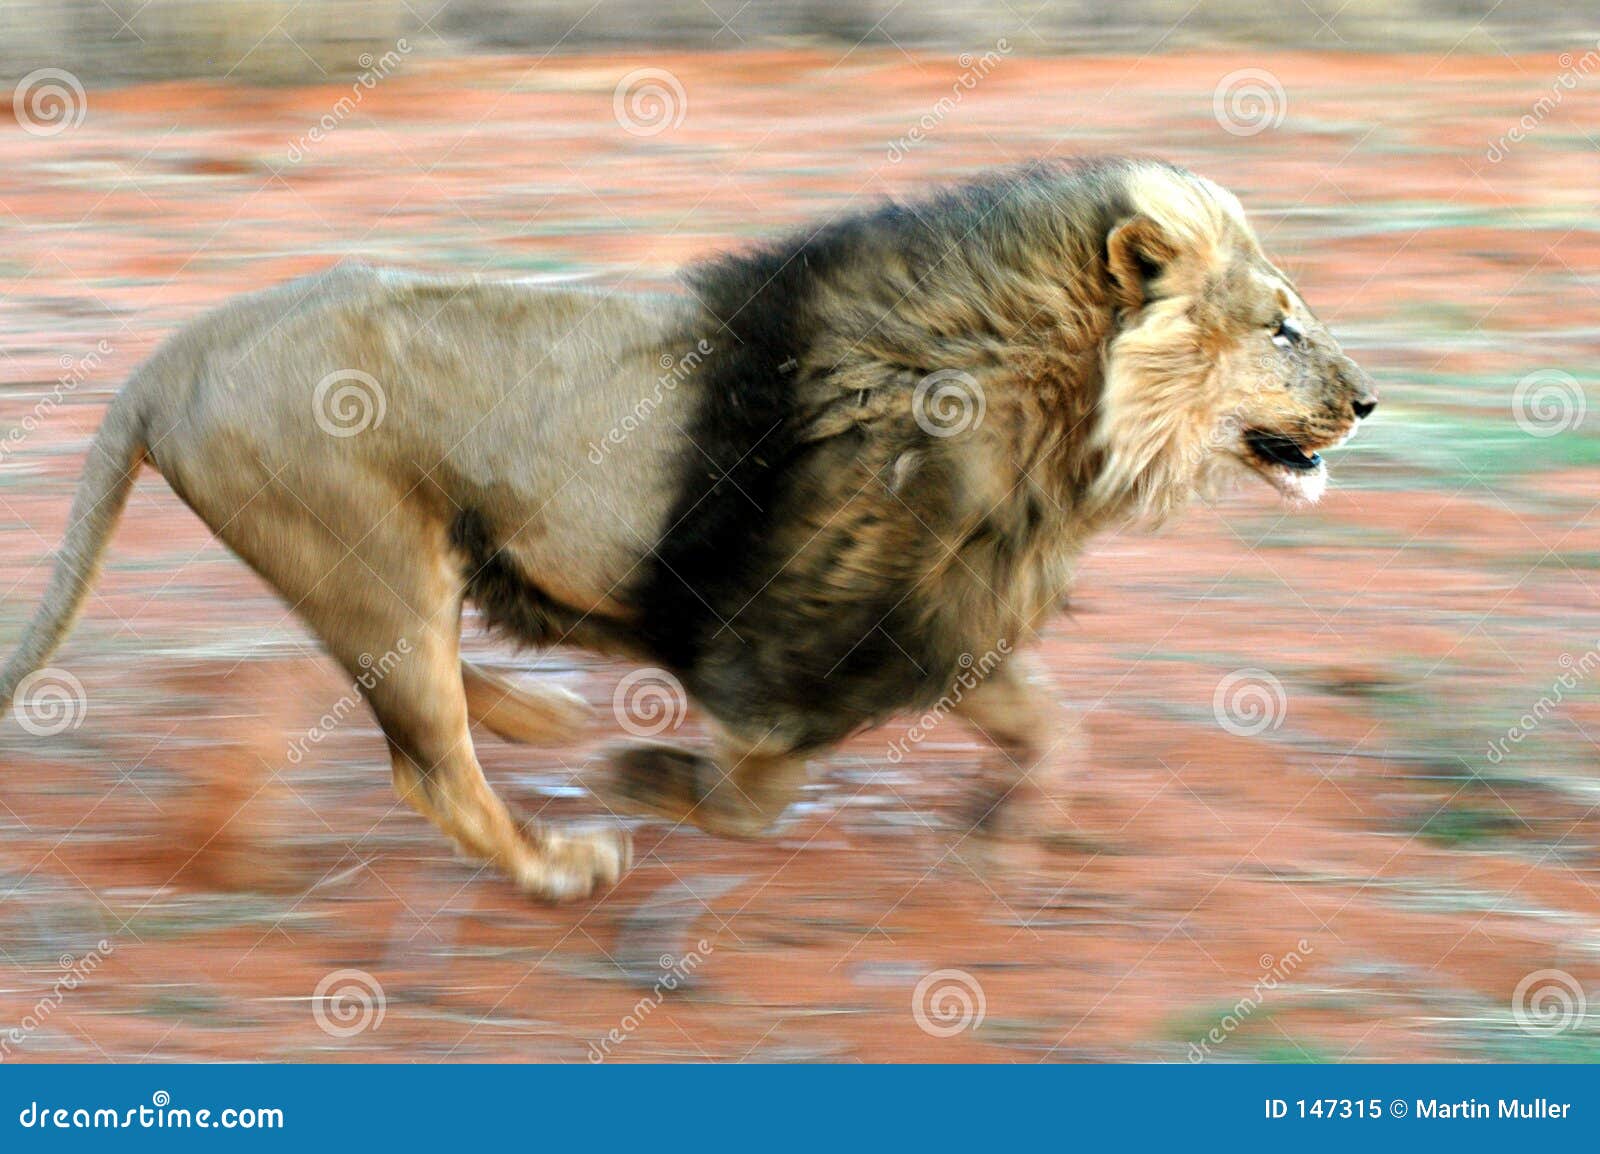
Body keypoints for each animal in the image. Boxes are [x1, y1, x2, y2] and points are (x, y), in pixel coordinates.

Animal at [0, 158, 1376, 901]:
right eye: (1280, 325)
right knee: (428, 760)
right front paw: (646, 778)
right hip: (372, 558)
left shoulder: (936, 608)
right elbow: (755, 793)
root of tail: (174, 355)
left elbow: (1053, 729)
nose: (1369, 401)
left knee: (394, 680)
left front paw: (1004, 836)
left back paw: (535, 709)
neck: (1061, 424)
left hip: (383, 570)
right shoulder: (800, 630)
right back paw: (562, 859)